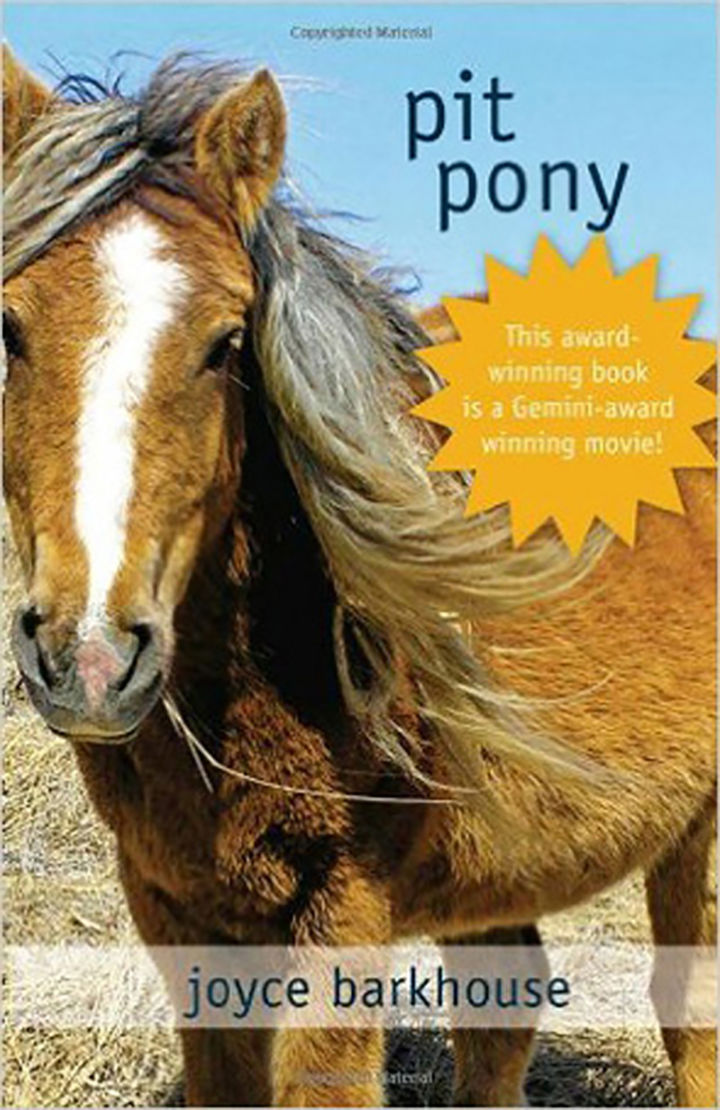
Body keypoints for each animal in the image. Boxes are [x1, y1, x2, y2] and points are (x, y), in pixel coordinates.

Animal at [3, 47, 716, 1108]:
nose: (88, 658)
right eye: (9, 329)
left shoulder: (341, 913)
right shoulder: (174, 909)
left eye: (226, 342)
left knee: (689, 1015)